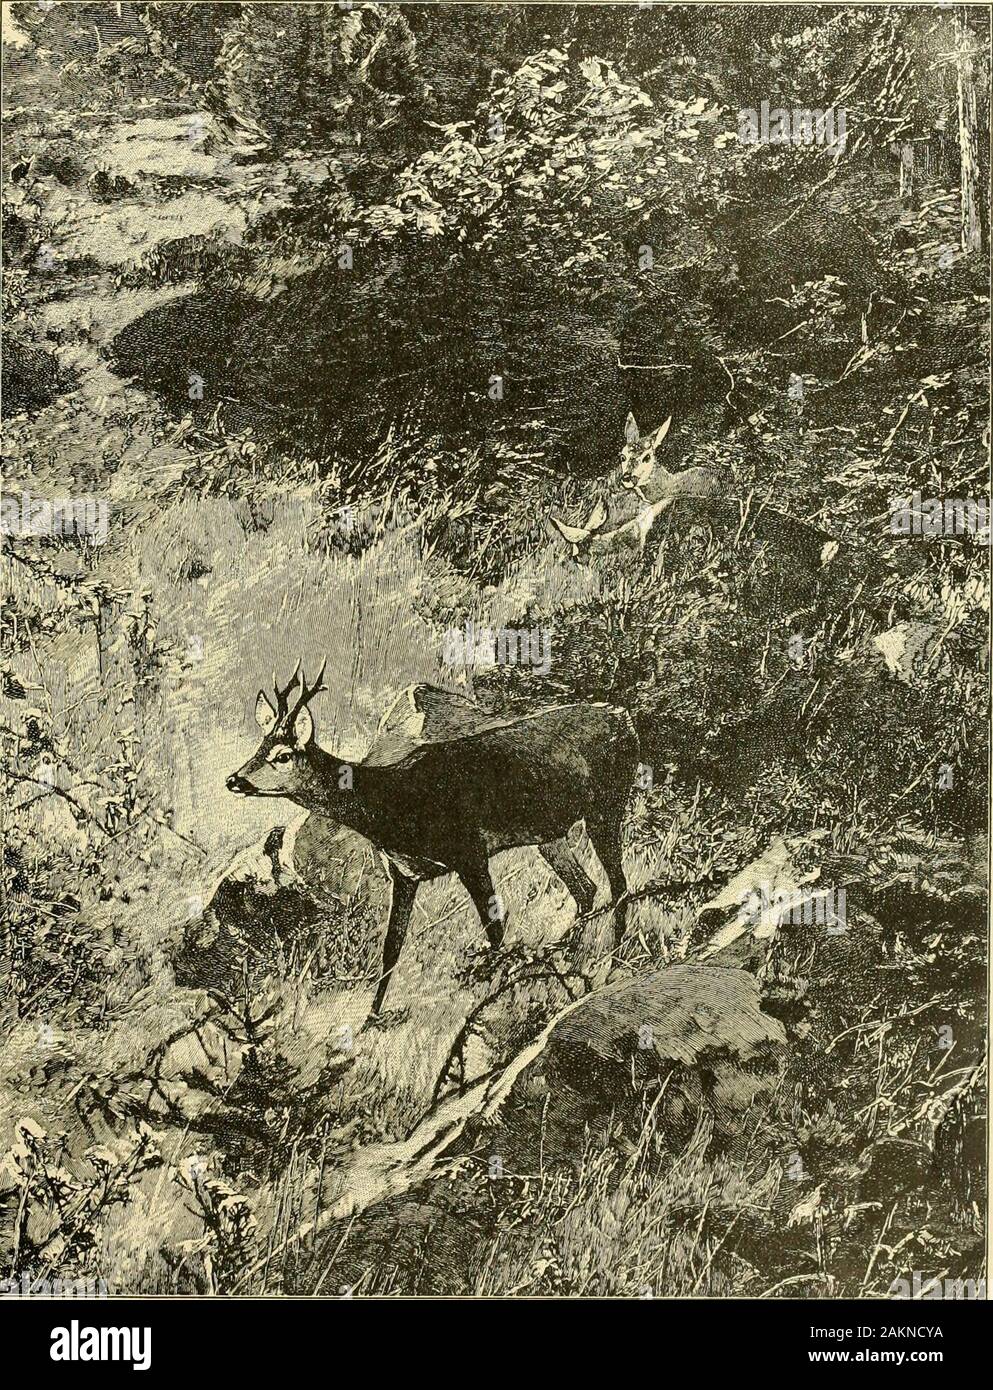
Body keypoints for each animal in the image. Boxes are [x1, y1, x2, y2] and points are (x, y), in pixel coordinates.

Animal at [226, 664, 640, 1015]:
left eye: (282, 755)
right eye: (259, 748)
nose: (233, 779)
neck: (397, 805)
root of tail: (625, 718)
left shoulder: (469, 851)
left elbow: (495, 931)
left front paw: (493, 997)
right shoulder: (404, 873)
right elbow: (391, 948)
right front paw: (370, 1018)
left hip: (607, 803)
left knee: (619, 886)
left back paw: (612, 964)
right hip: (549, 834)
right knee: (586, 889)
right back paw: (569, 959)